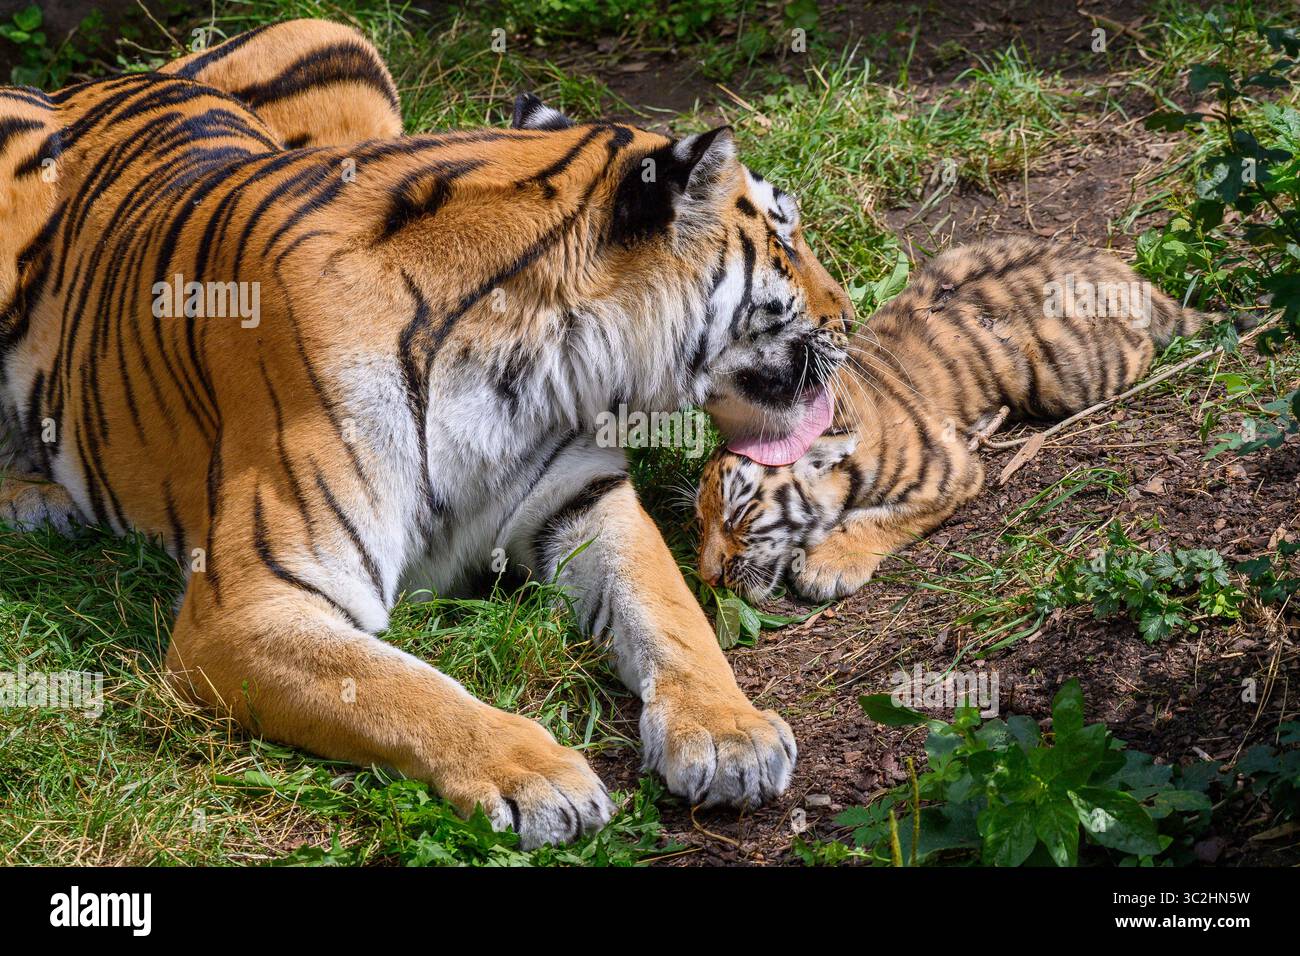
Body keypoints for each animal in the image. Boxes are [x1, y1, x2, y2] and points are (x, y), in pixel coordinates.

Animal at [0, 19, 854, 848]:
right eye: (785, 237)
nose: (850, 316)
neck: (533, 360)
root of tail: (96, 82)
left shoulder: (583, 501)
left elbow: (670, 614)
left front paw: (730, 734)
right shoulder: (251, 605)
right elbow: (401, 687)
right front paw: (537, 777)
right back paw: (34, 499)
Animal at [696, 237, 1216, 603]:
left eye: (740, 515)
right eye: (700, 522)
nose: (708, 578)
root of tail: (1120, 269)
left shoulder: (947, 472)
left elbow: (877, 520)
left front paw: (828, 567)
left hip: (1072, 377)